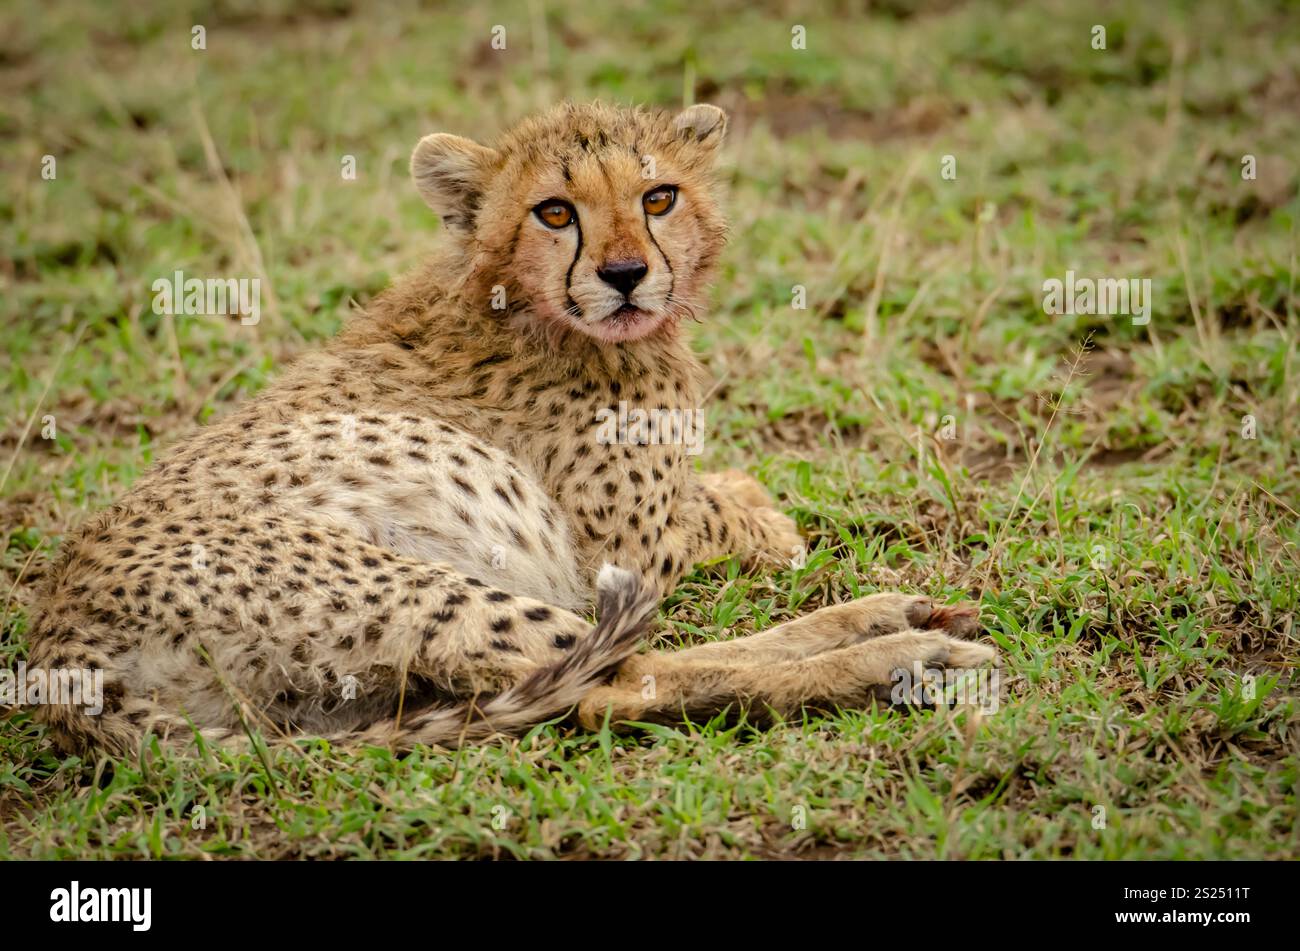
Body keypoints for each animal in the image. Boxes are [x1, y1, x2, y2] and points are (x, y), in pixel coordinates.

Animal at [25, 101, 996, 756]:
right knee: (615, 683)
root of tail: (56, 648)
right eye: (555, 211)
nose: (625, 274)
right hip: (428, 591)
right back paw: (902, 649)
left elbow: (710, 494)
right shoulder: (616, 553)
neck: (515, 302)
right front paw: (768, 519)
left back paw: (893, 613)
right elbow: (710, 515)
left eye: (660, 196)